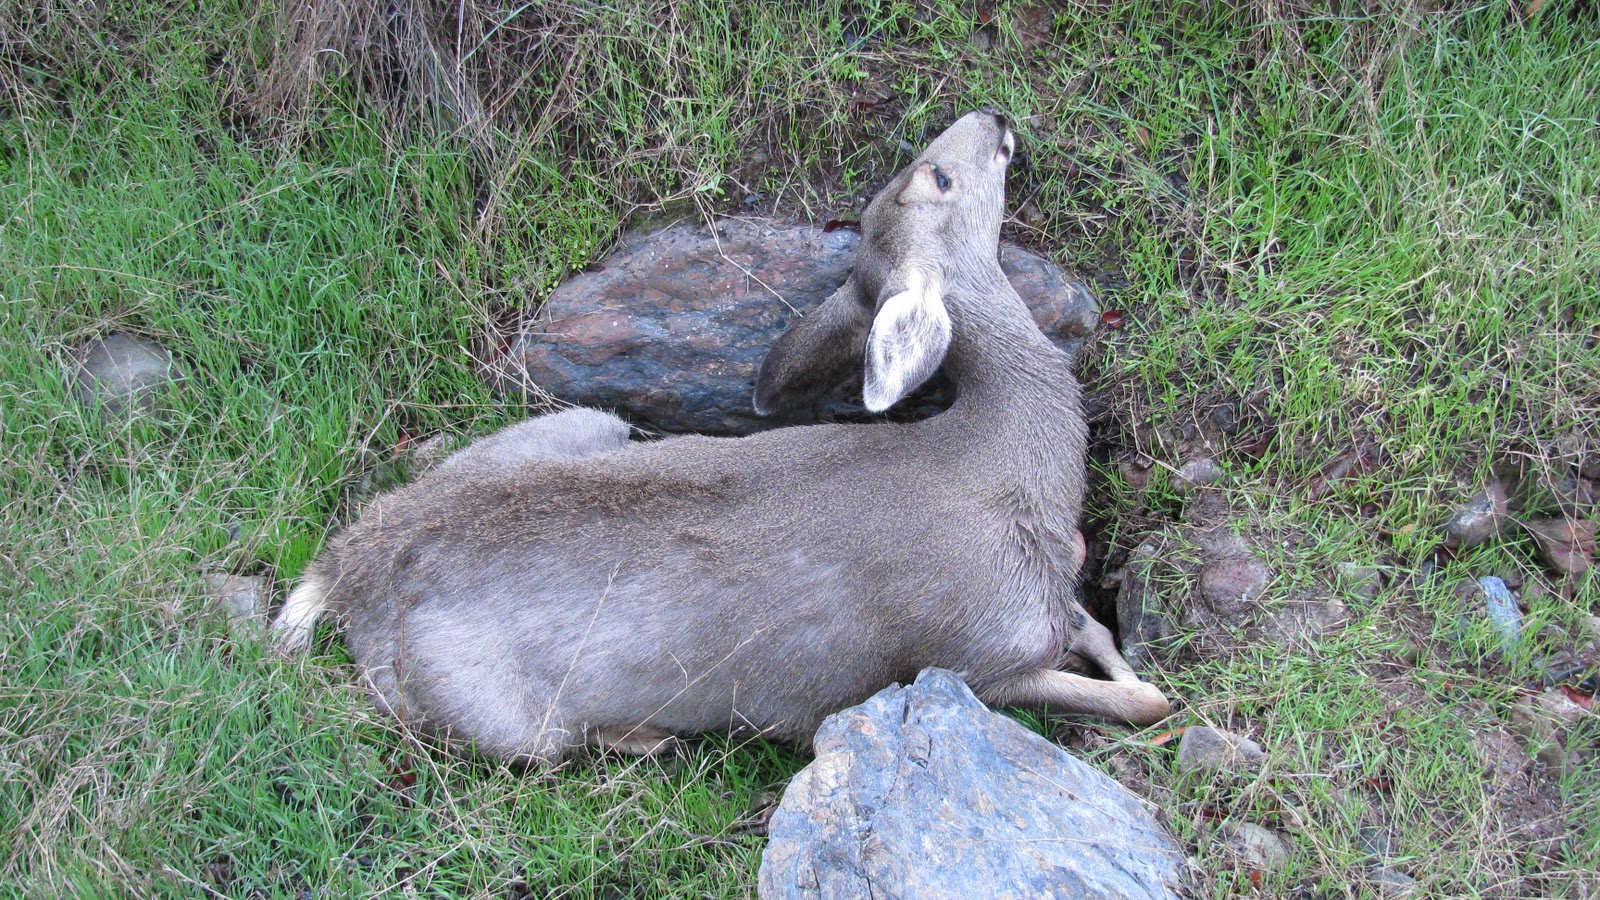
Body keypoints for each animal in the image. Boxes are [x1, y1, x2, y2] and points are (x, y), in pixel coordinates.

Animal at [271, 110, 1171, 764]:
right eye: (939, 176)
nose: (995, 116)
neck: (1003, 460)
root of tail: (353, 568)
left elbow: (1096, 630)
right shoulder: (973, 660)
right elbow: (1144, 701)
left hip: (584, 425)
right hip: (494, 713)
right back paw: (642, 735)